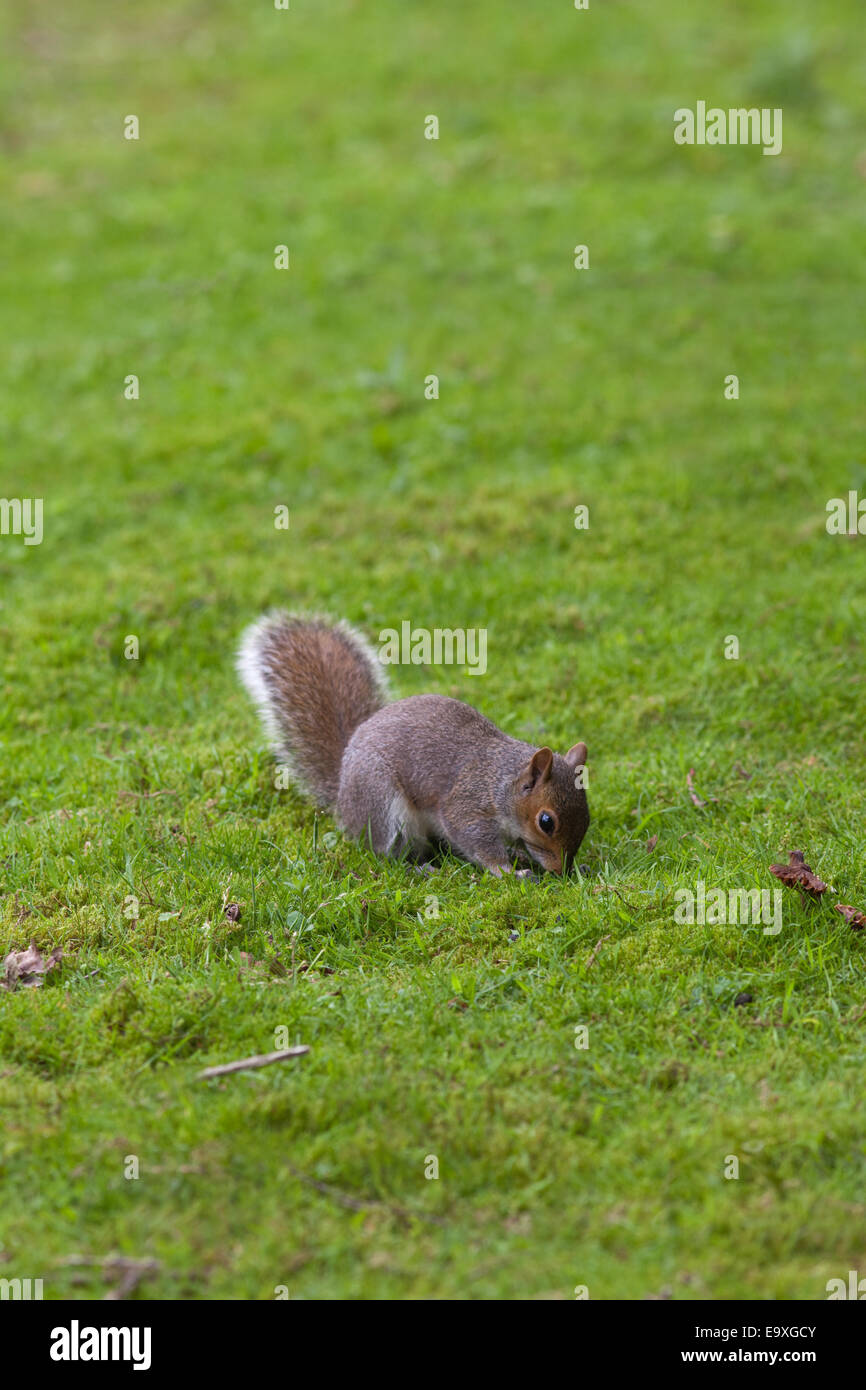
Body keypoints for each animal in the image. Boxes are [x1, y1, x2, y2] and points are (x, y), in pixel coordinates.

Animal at [237, 613, 589, 876]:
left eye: (586, 817)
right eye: (546, 822)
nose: (561, 871)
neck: (501, 782)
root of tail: (342, 795)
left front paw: (529, 857)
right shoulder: (467, 805)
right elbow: (476, 842)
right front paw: (507, 870)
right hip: (382, 803)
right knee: (385, 852)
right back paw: (417, 869)